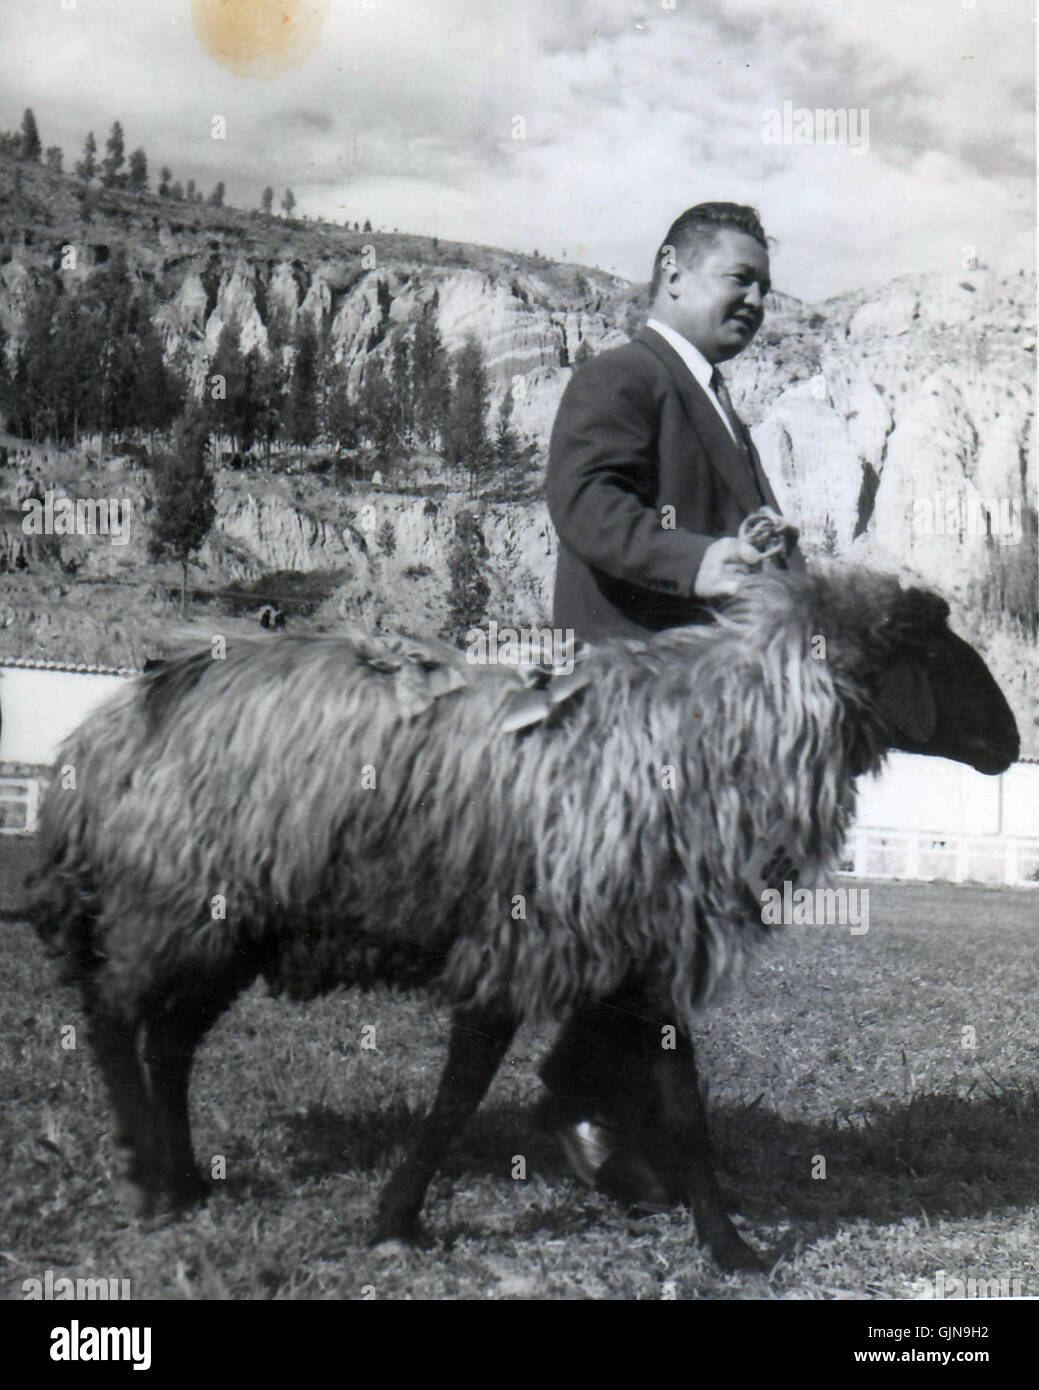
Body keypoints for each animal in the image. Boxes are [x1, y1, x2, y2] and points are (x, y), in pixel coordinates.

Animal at [30, 566, 1019, 1271]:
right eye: (938, 652)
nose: (1010, 744)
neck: (703, 741)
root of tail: (105, 731)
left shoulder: (642, 953)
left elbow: (684, 1106)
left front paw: (727, 1245)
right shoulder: (516, 939)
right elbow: (458, 1093)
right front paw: (397, 1219)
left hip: (229, 919)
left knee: (171, 1042)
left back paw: (185, 1179)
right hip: (177, 893)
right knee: (114, 1018)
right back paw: (146, 1179)